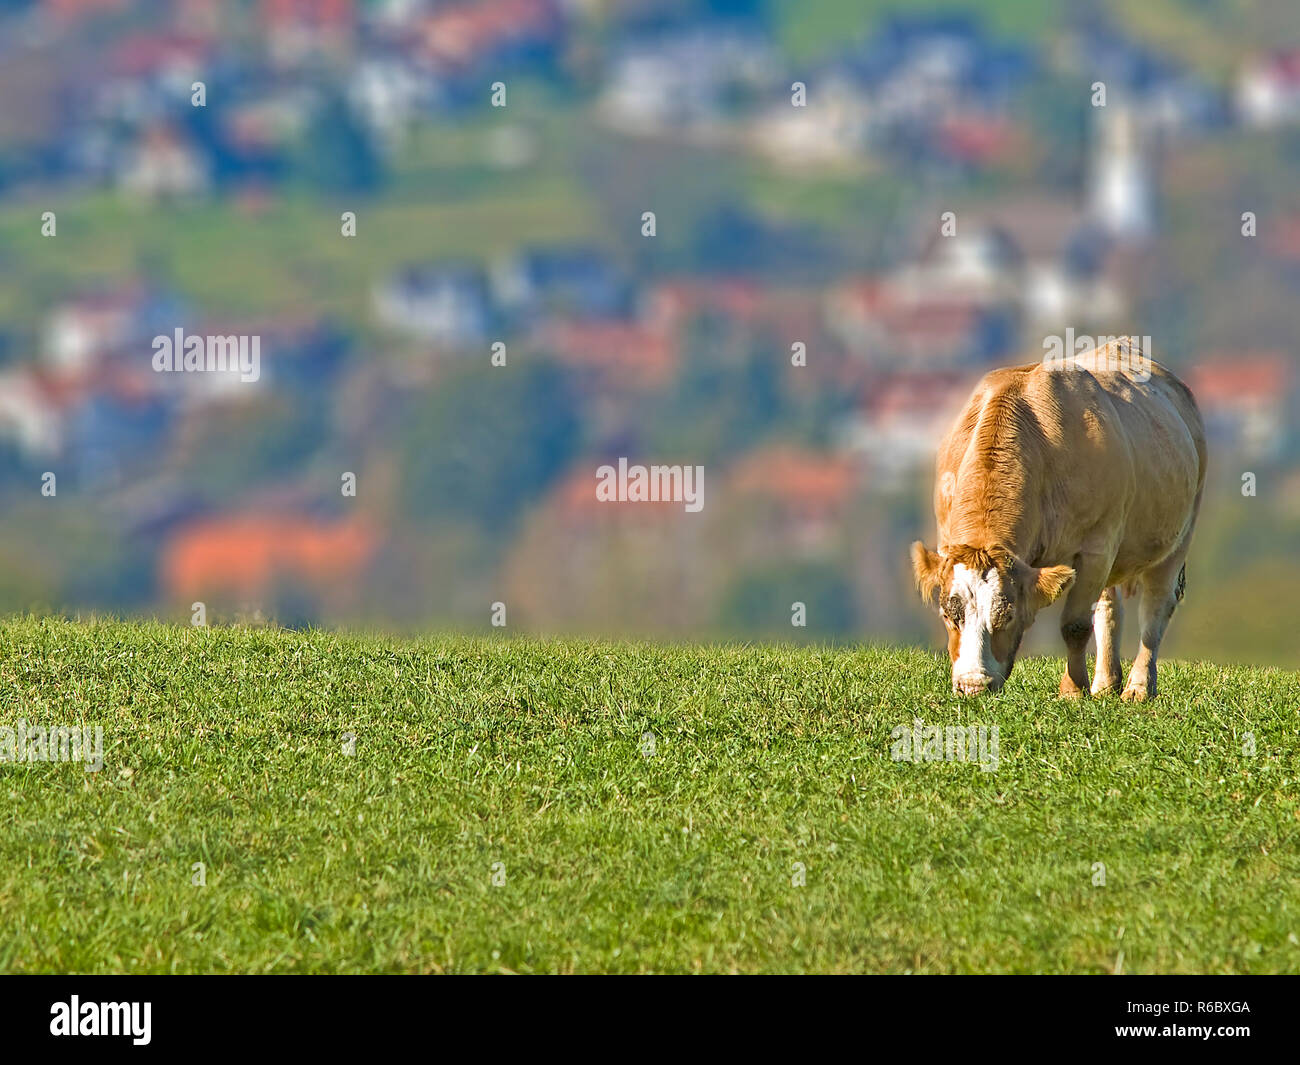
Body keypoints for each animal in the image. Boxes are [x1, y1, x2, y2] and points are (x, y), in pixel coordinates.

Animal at [910, 338, 1206, 701]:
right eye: (948, 615)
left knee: (1156, 606)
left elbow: (1075, 625)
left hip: (1179, 535)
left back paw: (1138, 687)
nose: (973, 685)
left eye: (1007, 615)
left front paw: (1073, 690)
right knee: (1109, 608)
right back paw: (1105, 684)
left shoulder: (1096, 548)